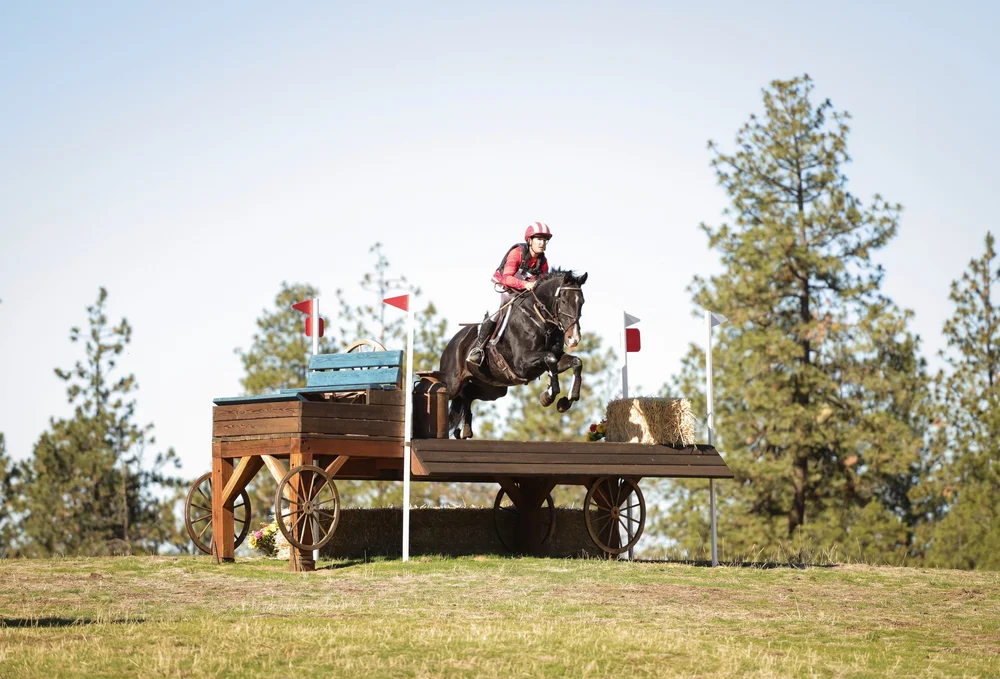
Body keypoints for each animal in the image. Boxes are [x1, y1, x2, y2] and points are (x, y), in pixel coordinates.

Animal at [439, 269, 588, 439]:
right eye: (563, 301)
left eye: (582, 302)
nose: (574, 338)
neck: (541, 320)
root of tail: (452, 343)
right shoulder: (522, 363)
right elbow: (549, 359)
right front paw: (549, 396)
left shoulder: (555, 358)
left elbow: (575, 362)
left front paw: (568, 399)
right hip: (452, 384)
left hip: (493, 387)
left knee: (467, 394)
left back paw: (465, 430)